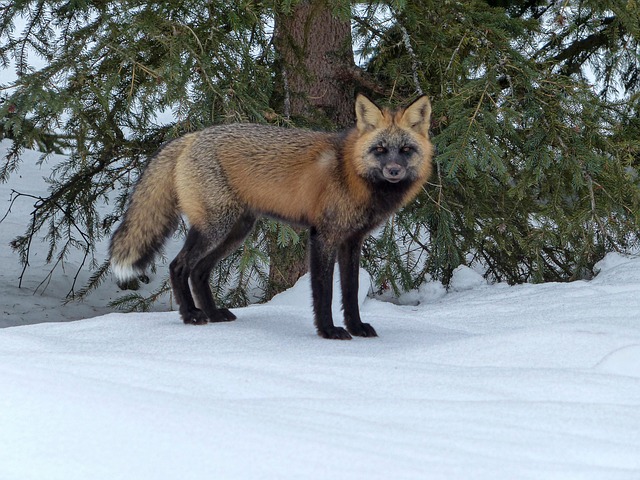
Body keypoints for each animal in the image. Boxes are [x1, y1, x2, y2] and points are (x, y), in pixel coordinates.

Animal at [109, 94, 433, 339]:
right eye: (380, 149)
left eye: (406, 149)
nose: (394, 170)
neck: (351, 173)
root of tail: (191, 136)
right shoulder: (323, 236)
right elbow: (324, 292)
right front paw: (328, 331)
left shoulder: (352, 241)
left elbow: (351, 293)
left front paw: (356, 328)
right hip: (215, 228)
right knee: (179, 266)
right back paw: (191, 315)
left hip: (236, 231)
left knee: (199, 271)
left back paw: (213, 313)